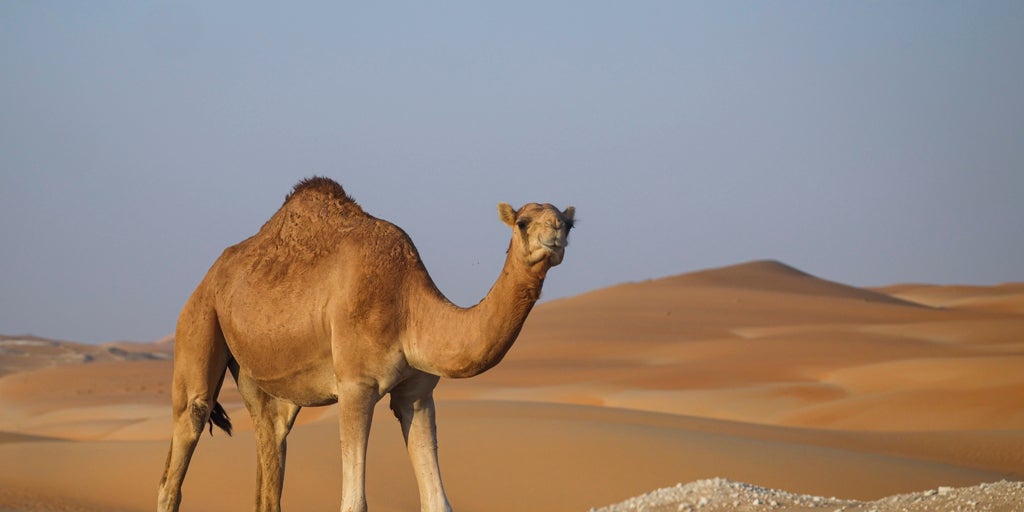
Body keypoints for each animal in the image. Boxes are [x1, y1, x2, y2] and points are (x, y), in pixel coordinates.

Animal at [157, 177, 574, 512]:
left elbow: (437, 501)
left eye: (569, 222)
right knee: (180, 449)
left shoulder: (416, 392)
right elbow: (354, 502)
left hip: (264, 382)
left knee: (270, 450)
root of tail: (211, 276)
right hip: (199, 321)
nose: (555, 232)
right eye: (523, 222)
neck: (408, 305)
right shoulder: (355, 385)